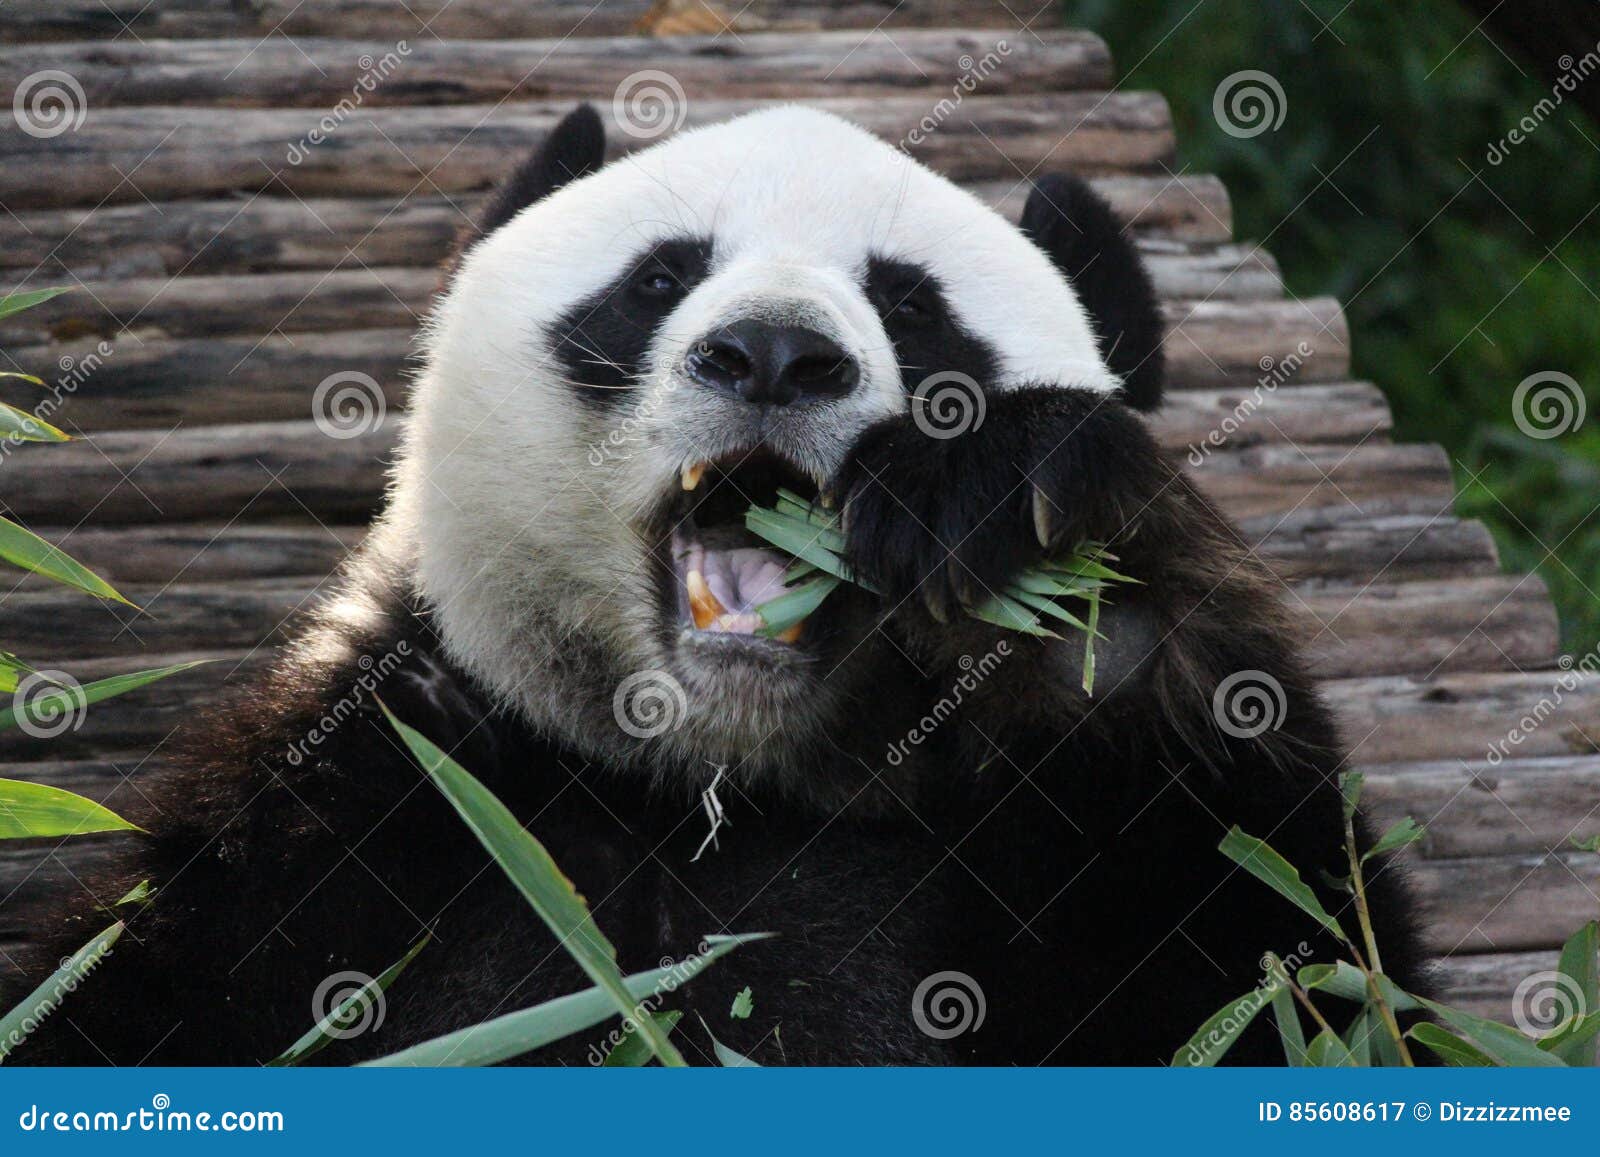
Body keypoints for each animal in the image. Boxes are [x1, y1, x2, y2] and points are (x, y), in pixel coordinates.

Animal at [7, 105, 1429, 1066]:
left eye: (911, 310)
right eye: (658, 279)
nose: (776, 356)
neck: (707, 783)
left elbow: (1302, 976)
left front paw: (1033, 547)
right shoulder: (377, 791)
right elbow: (129, 1003)